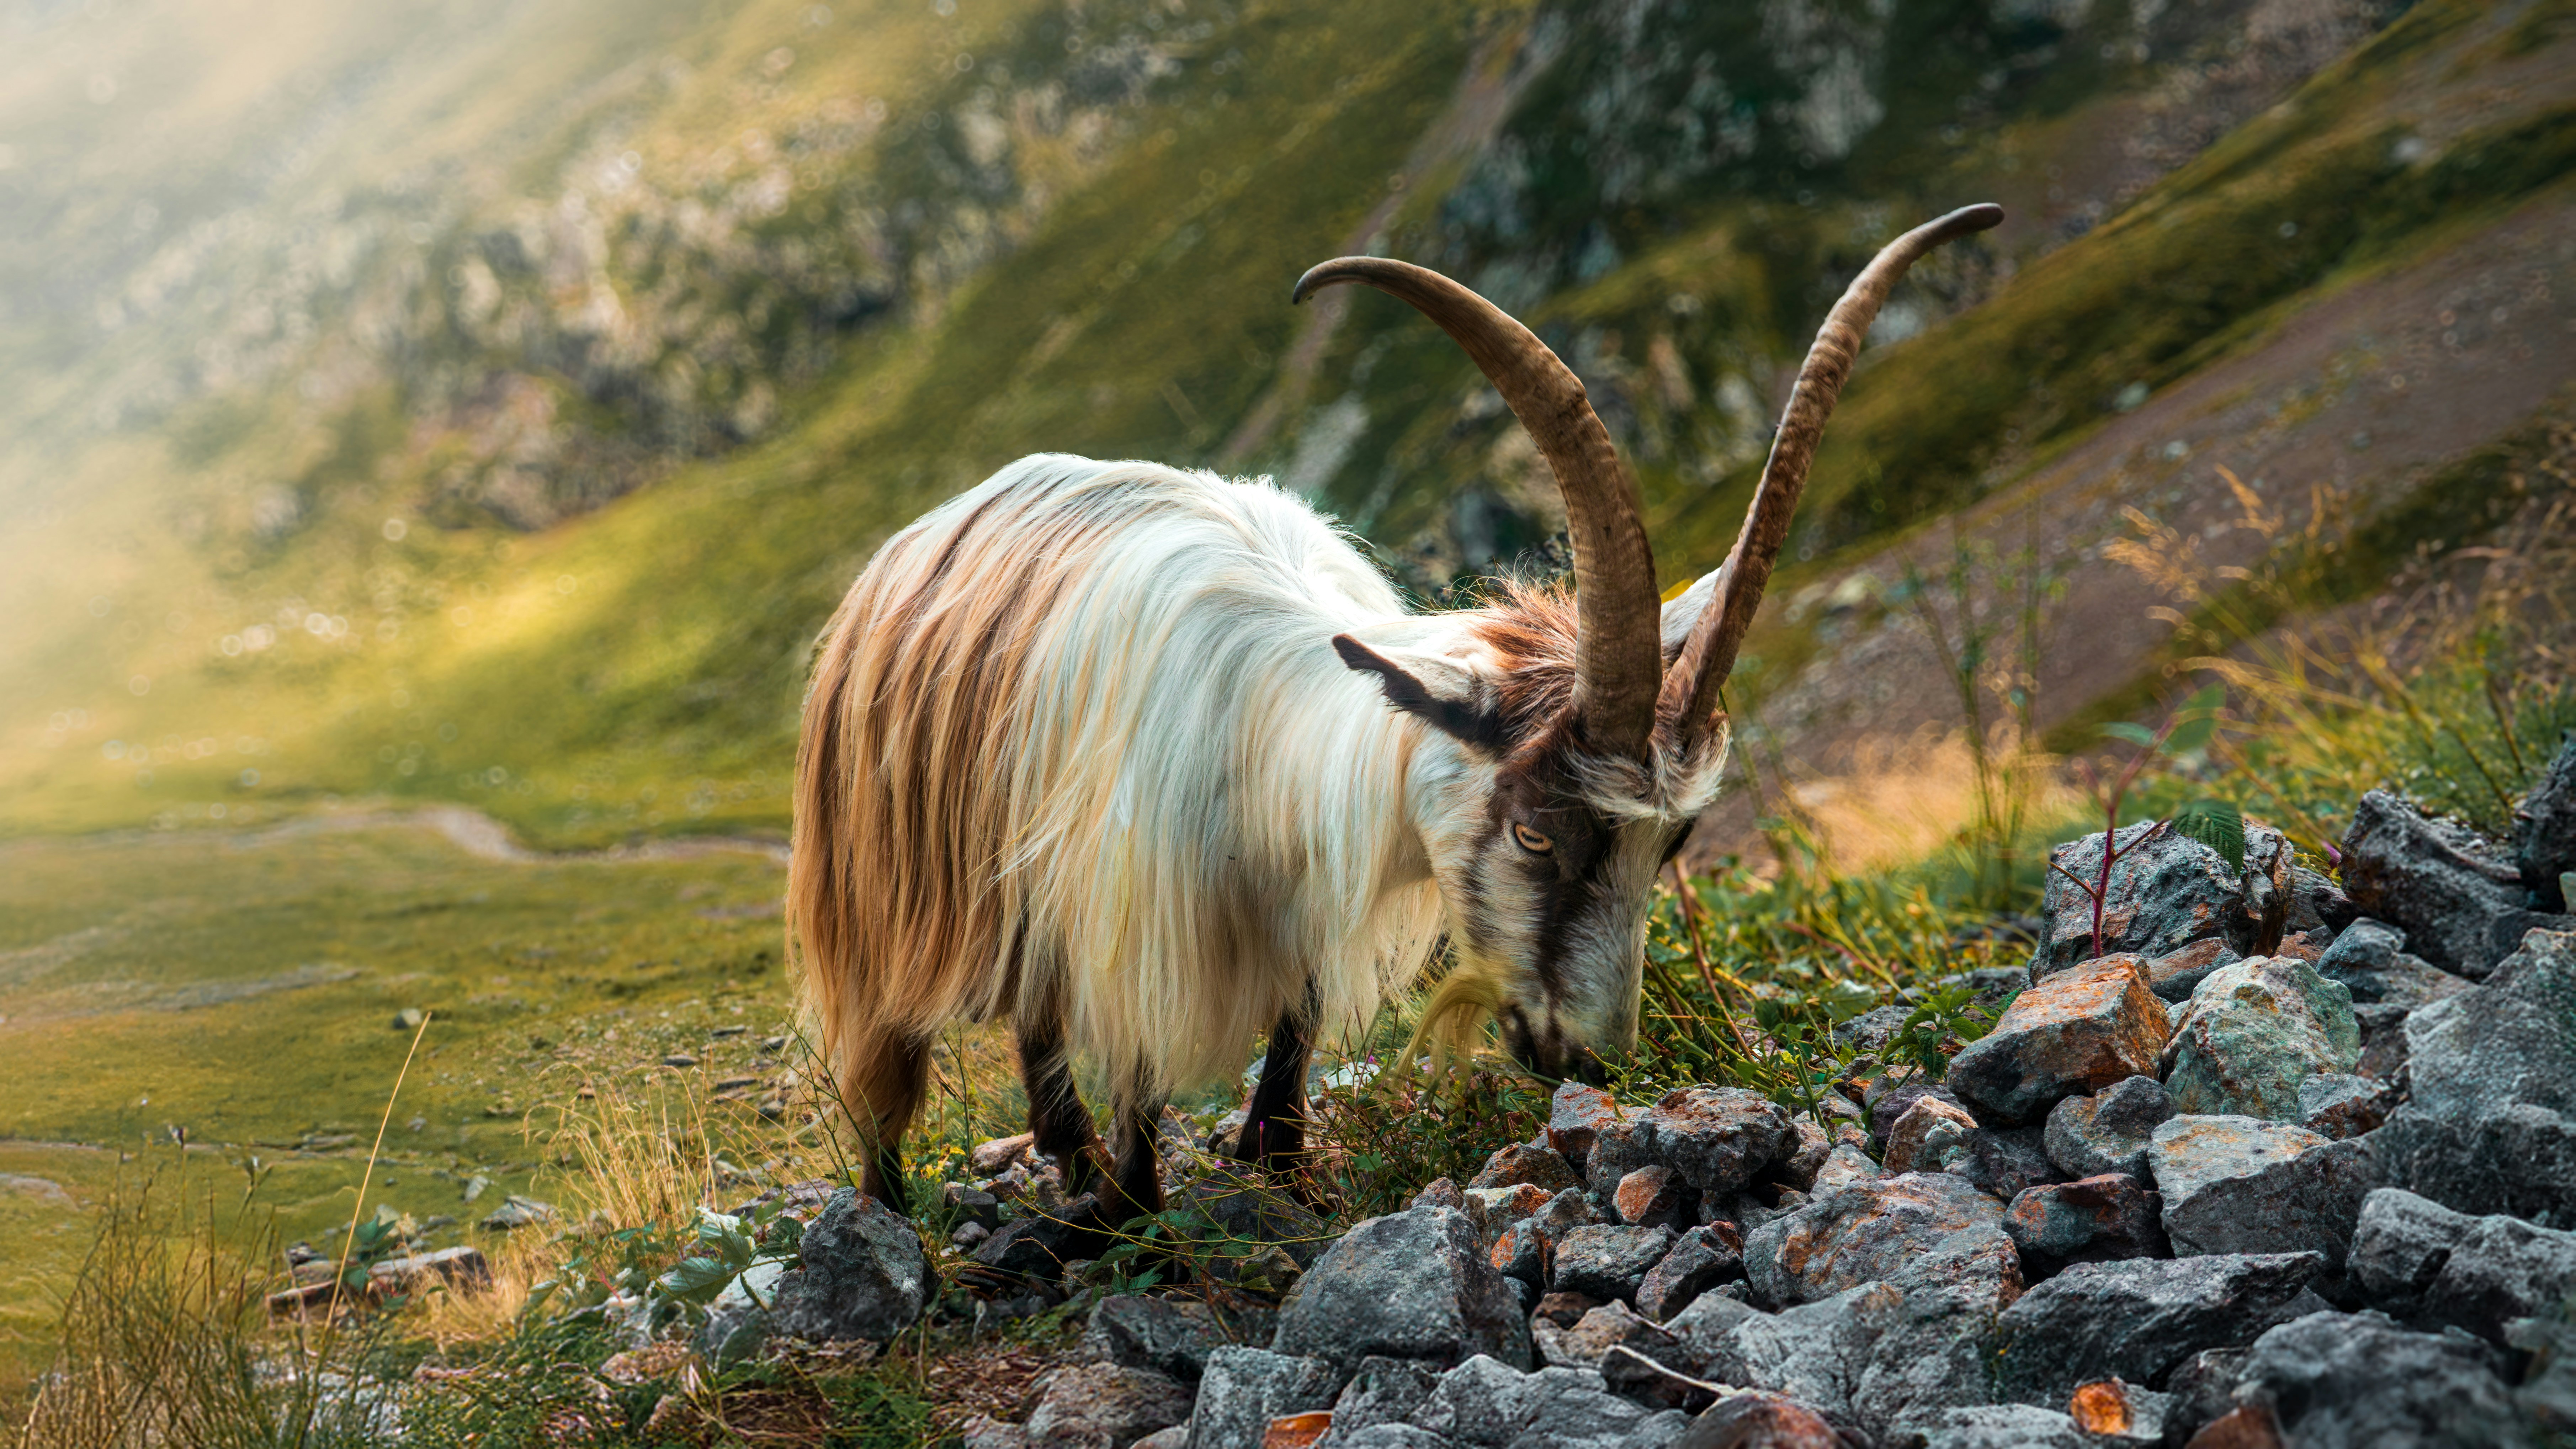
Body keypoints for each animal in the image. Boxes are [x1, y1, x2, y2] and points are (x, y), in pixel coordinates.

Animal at [789, 204, 2002, 1221]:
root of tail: (928, 529)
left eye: (1673, 842)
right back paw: (904, 1215)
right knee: (904, 1058)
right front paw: (1131, 1219)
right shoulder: (1133, 914)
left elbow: (1287, 1050)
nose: (1591, 1061)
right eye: (1533, 833)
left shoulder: (1290, 917)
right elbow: (1133, 1075)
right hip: (890, 877)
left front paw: (1277, 1171)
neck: (1269, 751)